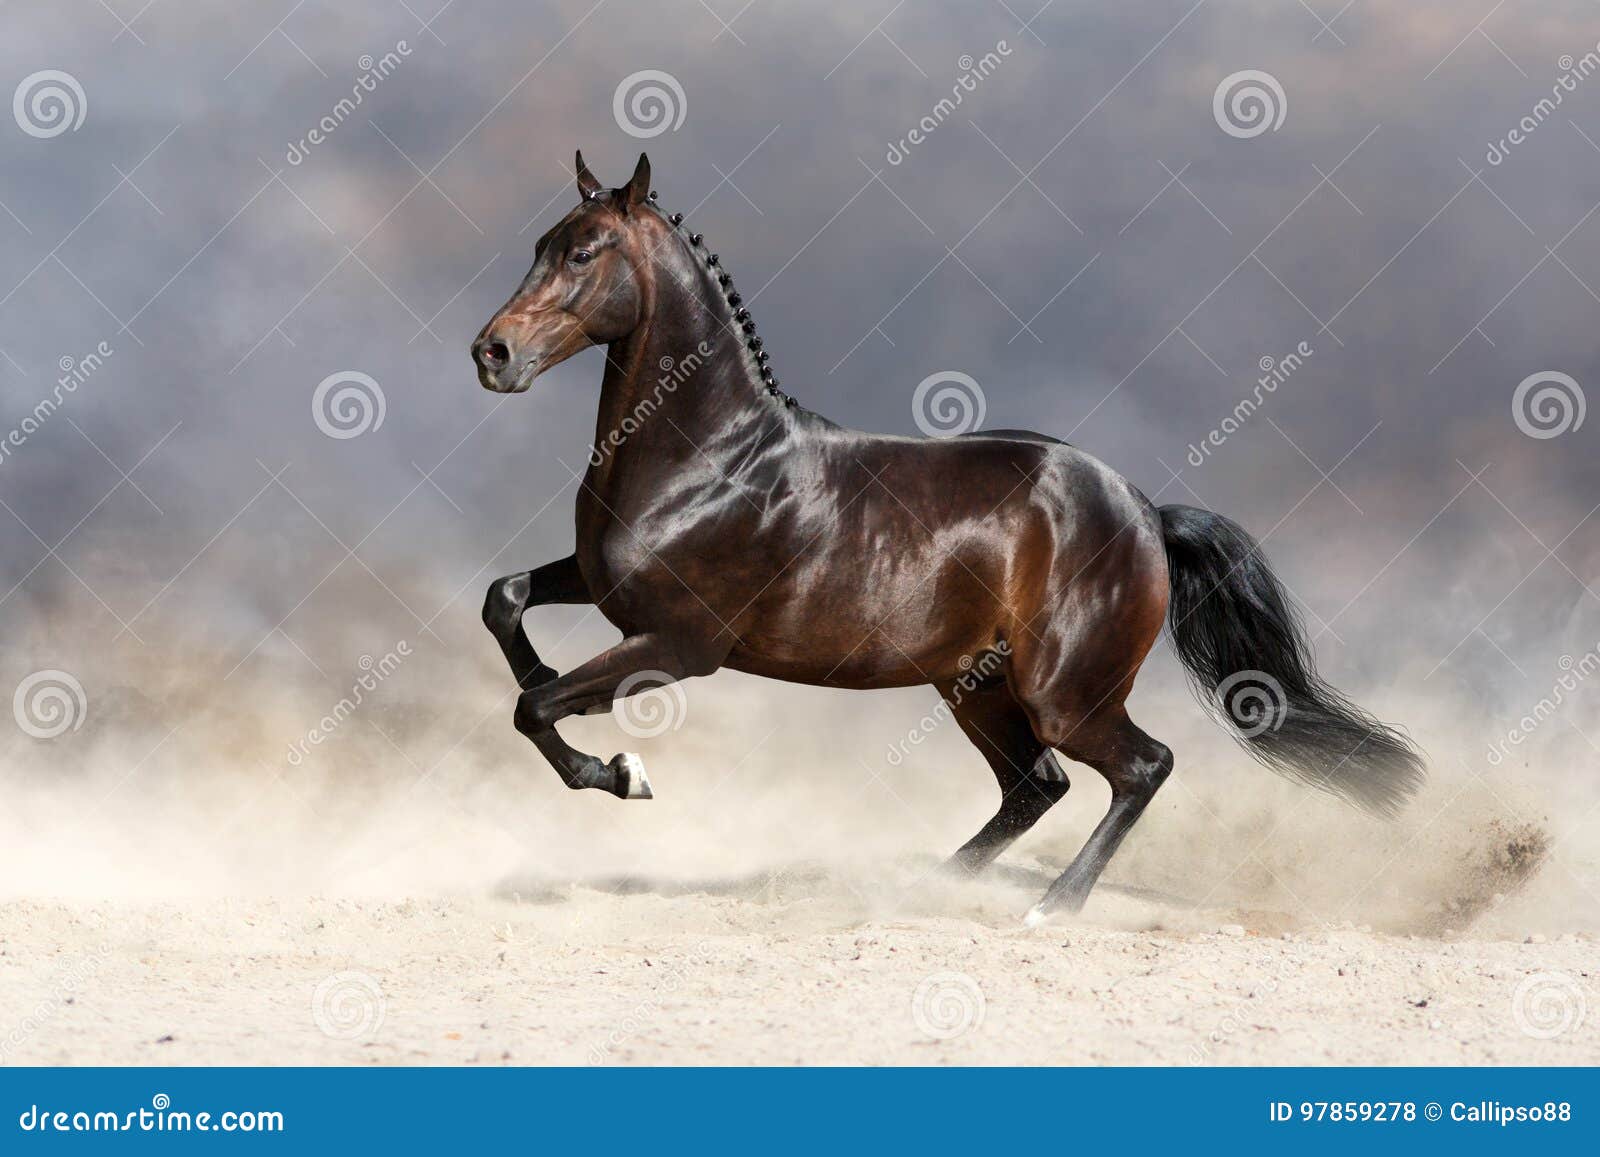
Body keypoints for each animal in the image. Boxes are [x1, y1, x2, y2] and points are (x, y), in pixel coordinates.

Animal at [470, 151, 1425, 923]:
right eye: (540, 244)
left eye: (585, 252)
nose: (493, 354)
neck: (711, 454)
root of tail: (1146, 513)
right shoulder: (598, 584)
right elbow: (505, 604)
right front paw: (578, 706)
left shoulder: (678, 644)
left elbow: (533, 707)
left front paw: (624, 768)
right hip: (977, 687)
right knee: (1038, 786)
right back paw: (923, 887)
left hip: (1062, 692)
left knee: (1140, 767)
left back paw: (1050, 907)